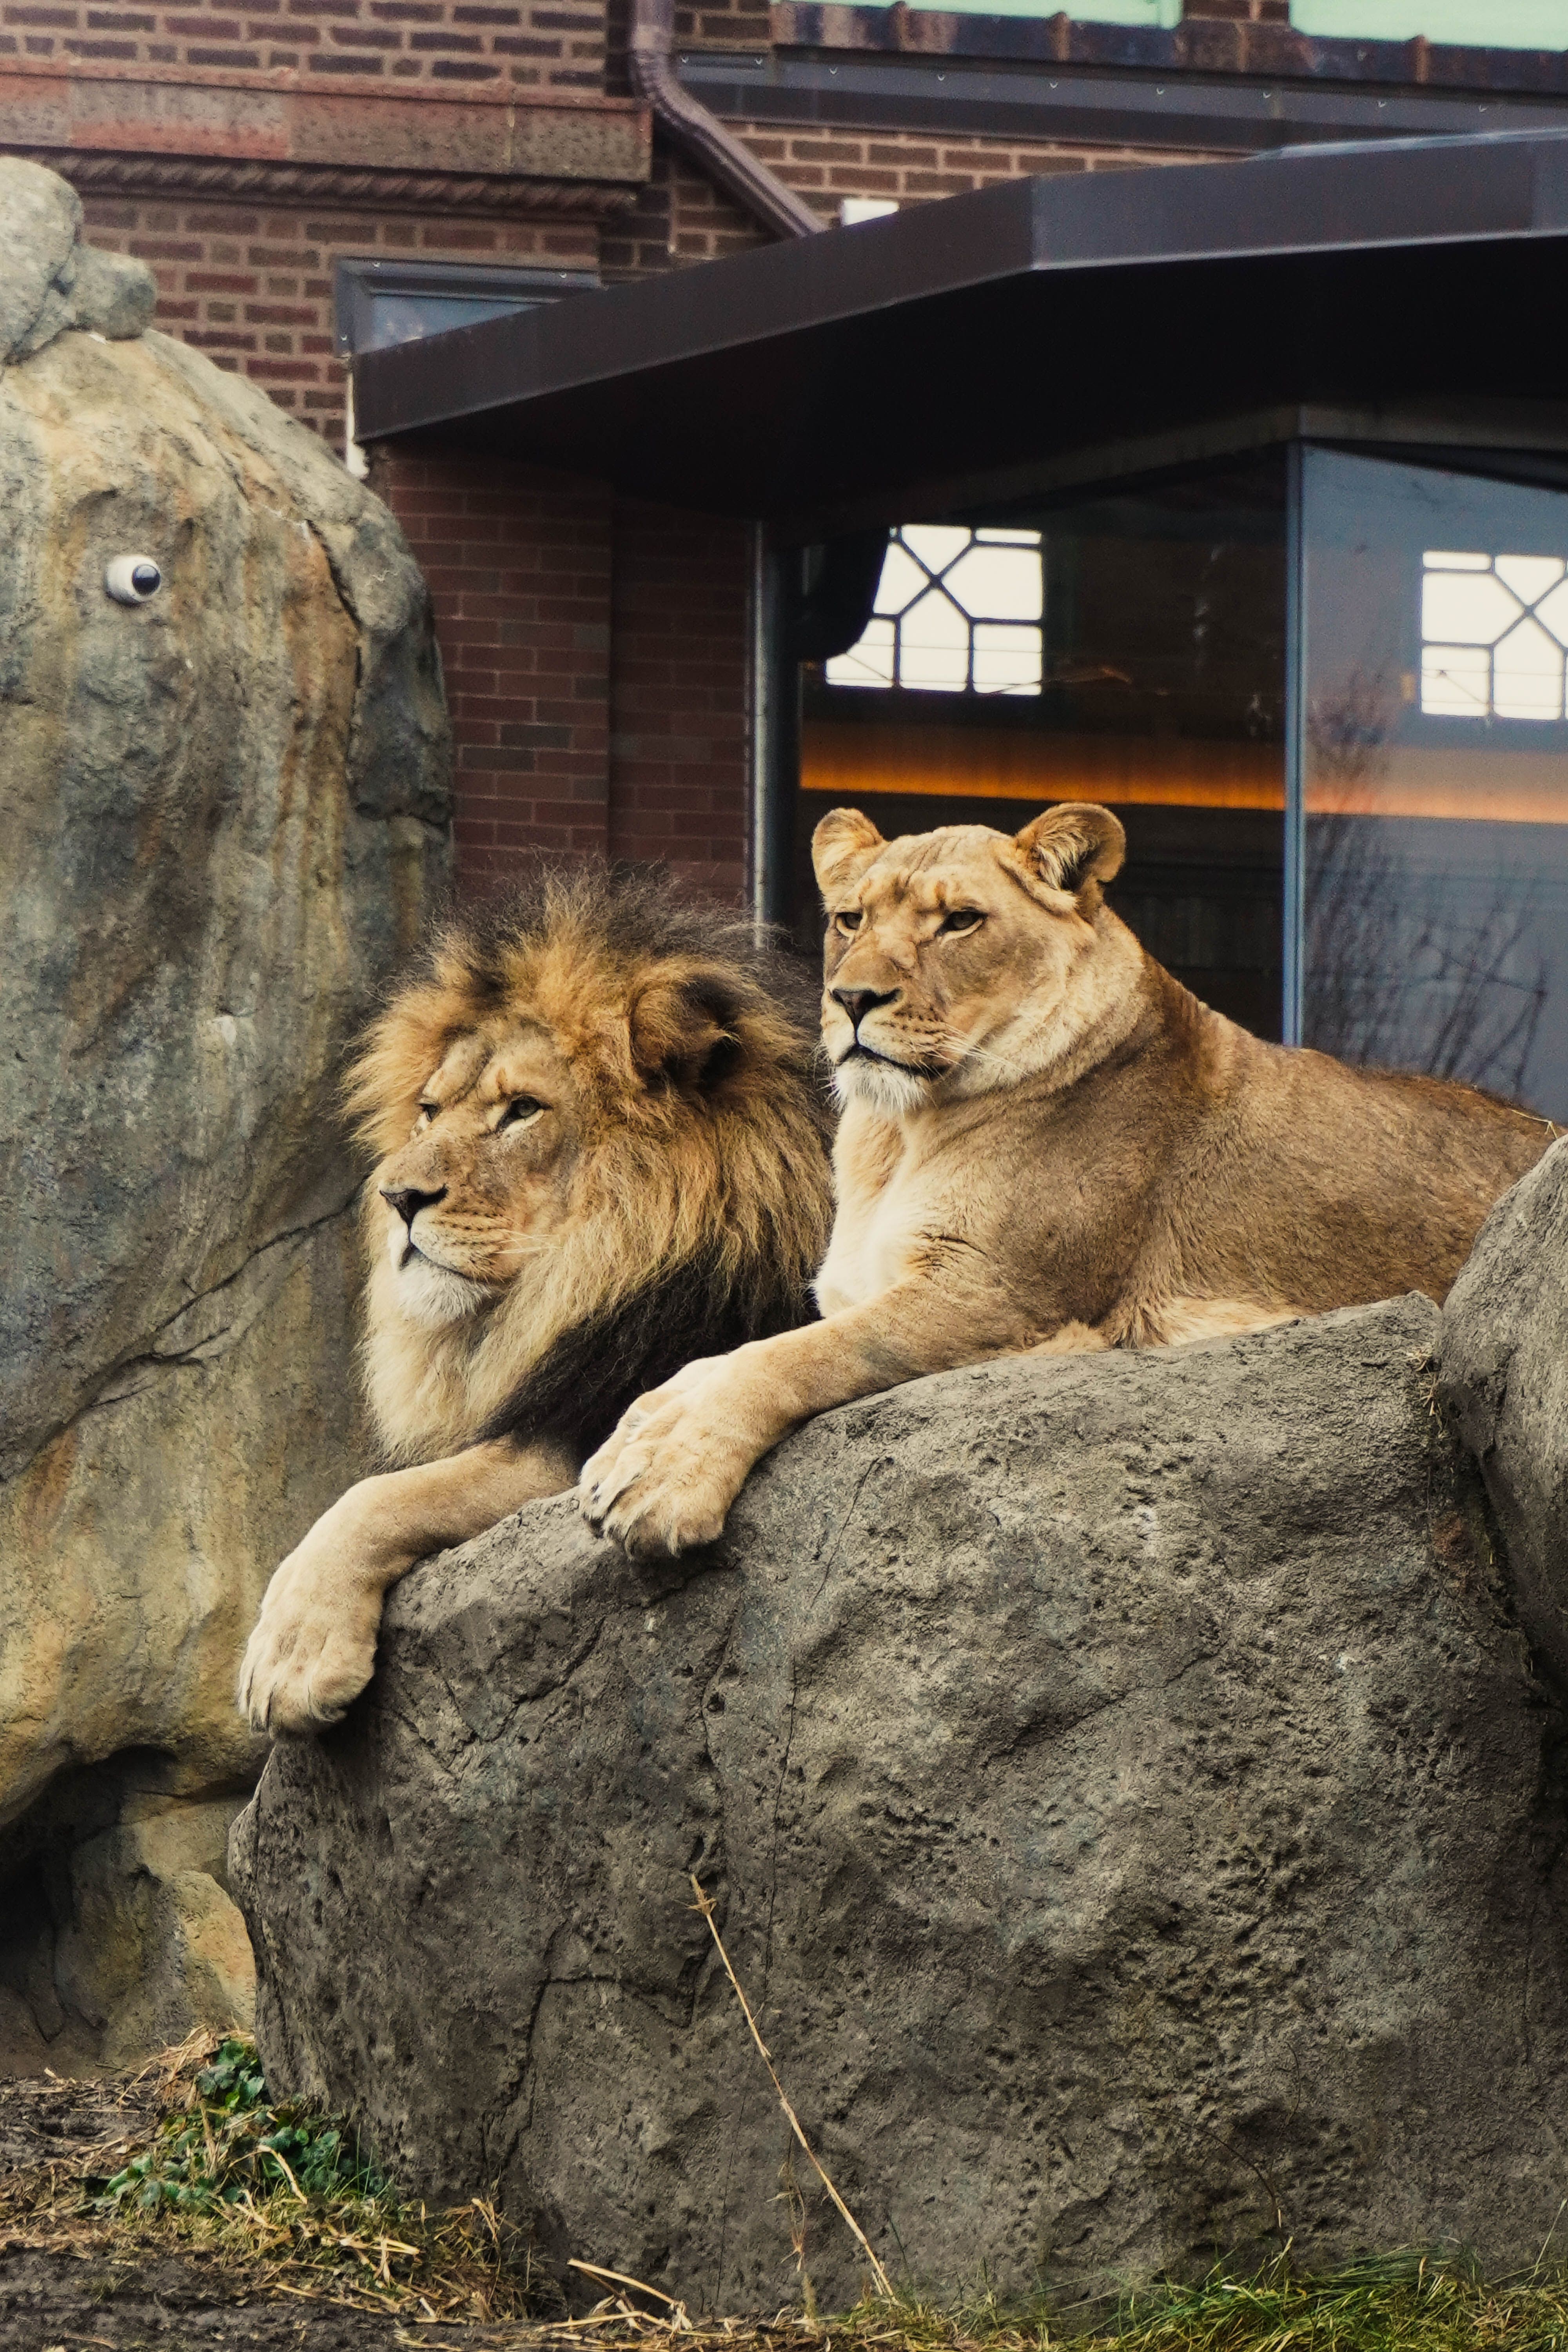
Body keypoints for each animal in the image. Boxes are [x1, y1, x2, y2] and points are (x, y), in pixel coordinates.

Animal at [238, 868, 834, 1733]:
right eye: (428, 1111)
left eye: (521, 1110)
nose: (396, 1198)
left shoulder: (594, 1434)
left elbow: (375, 1496)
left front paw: (289, 1658)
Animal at [580, 800, 1561, 1558]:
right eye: (849, 921)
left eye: (959, 922)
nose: (852, 1000)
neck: (896, 1135)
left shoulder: (1011, 1297)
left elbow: (794, 1354)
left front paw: (654, 1466)